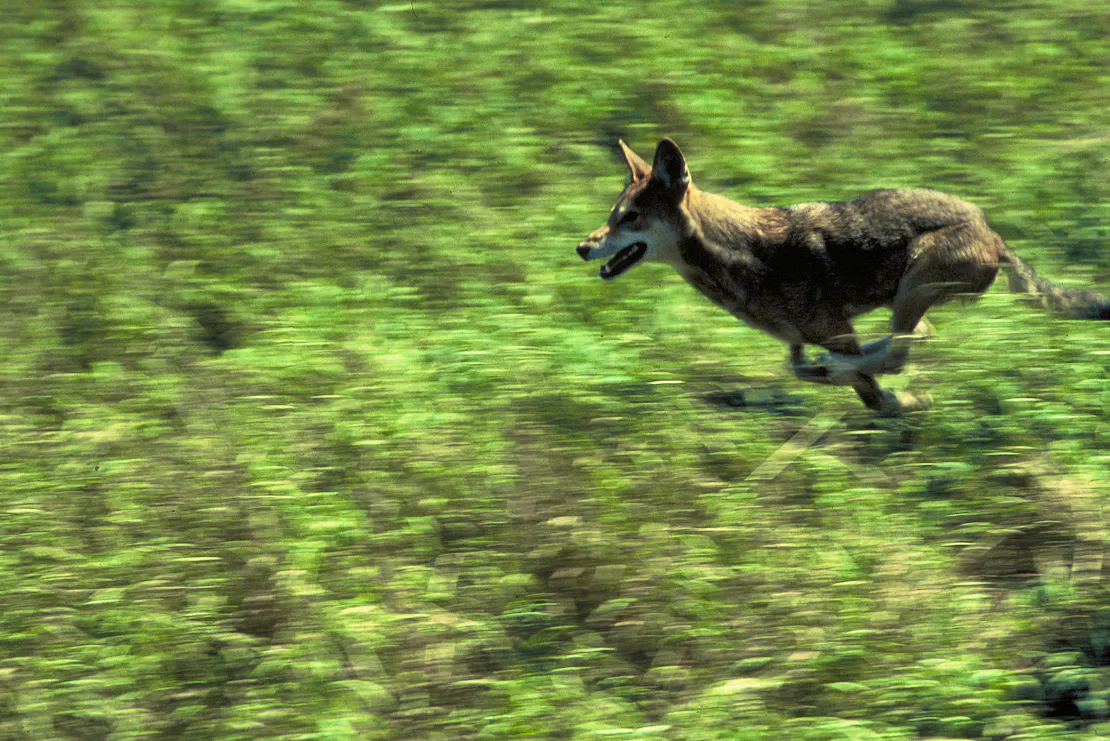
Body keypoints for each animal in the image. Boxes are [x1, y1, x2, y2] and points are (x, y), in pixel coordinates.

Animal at [576, 138, 1109, 415]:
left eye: (630, 219)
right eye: (612, 216)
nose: (582, 247)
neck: (741, 254)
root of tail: (992, 232)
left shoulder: (834, 330)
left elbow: (868, 385)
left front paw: (893, 397)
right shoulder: (805, 337)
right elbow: (804, 368)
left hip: (915, 276)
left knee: (899, 349)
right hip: (905, 296)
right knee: (913, 338)